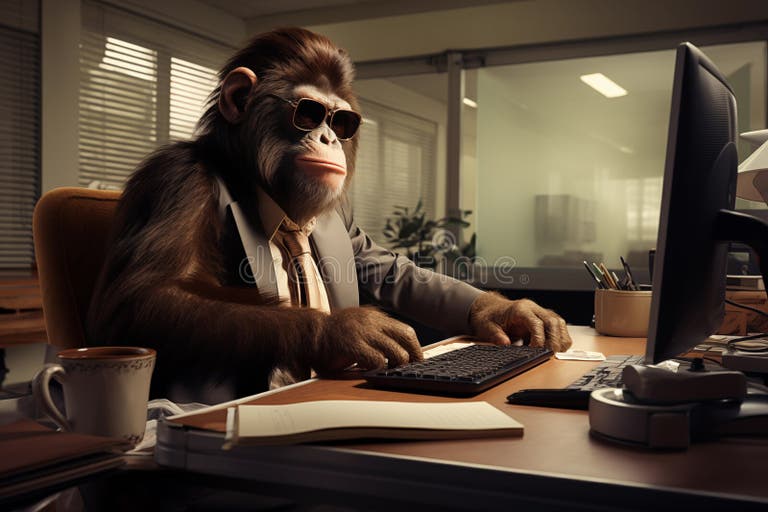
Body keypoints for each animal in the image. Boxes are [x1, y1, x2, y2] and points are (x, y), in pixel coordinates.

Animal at [86, 27, 572, 400]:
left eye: (343, 121)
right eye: (308, 112)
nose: (328, 136)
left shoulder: (347, 223)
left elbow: (391, 267)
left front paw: (508, 312)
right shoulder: (178, 181)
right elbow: (147, 298)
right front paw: (347, 330)